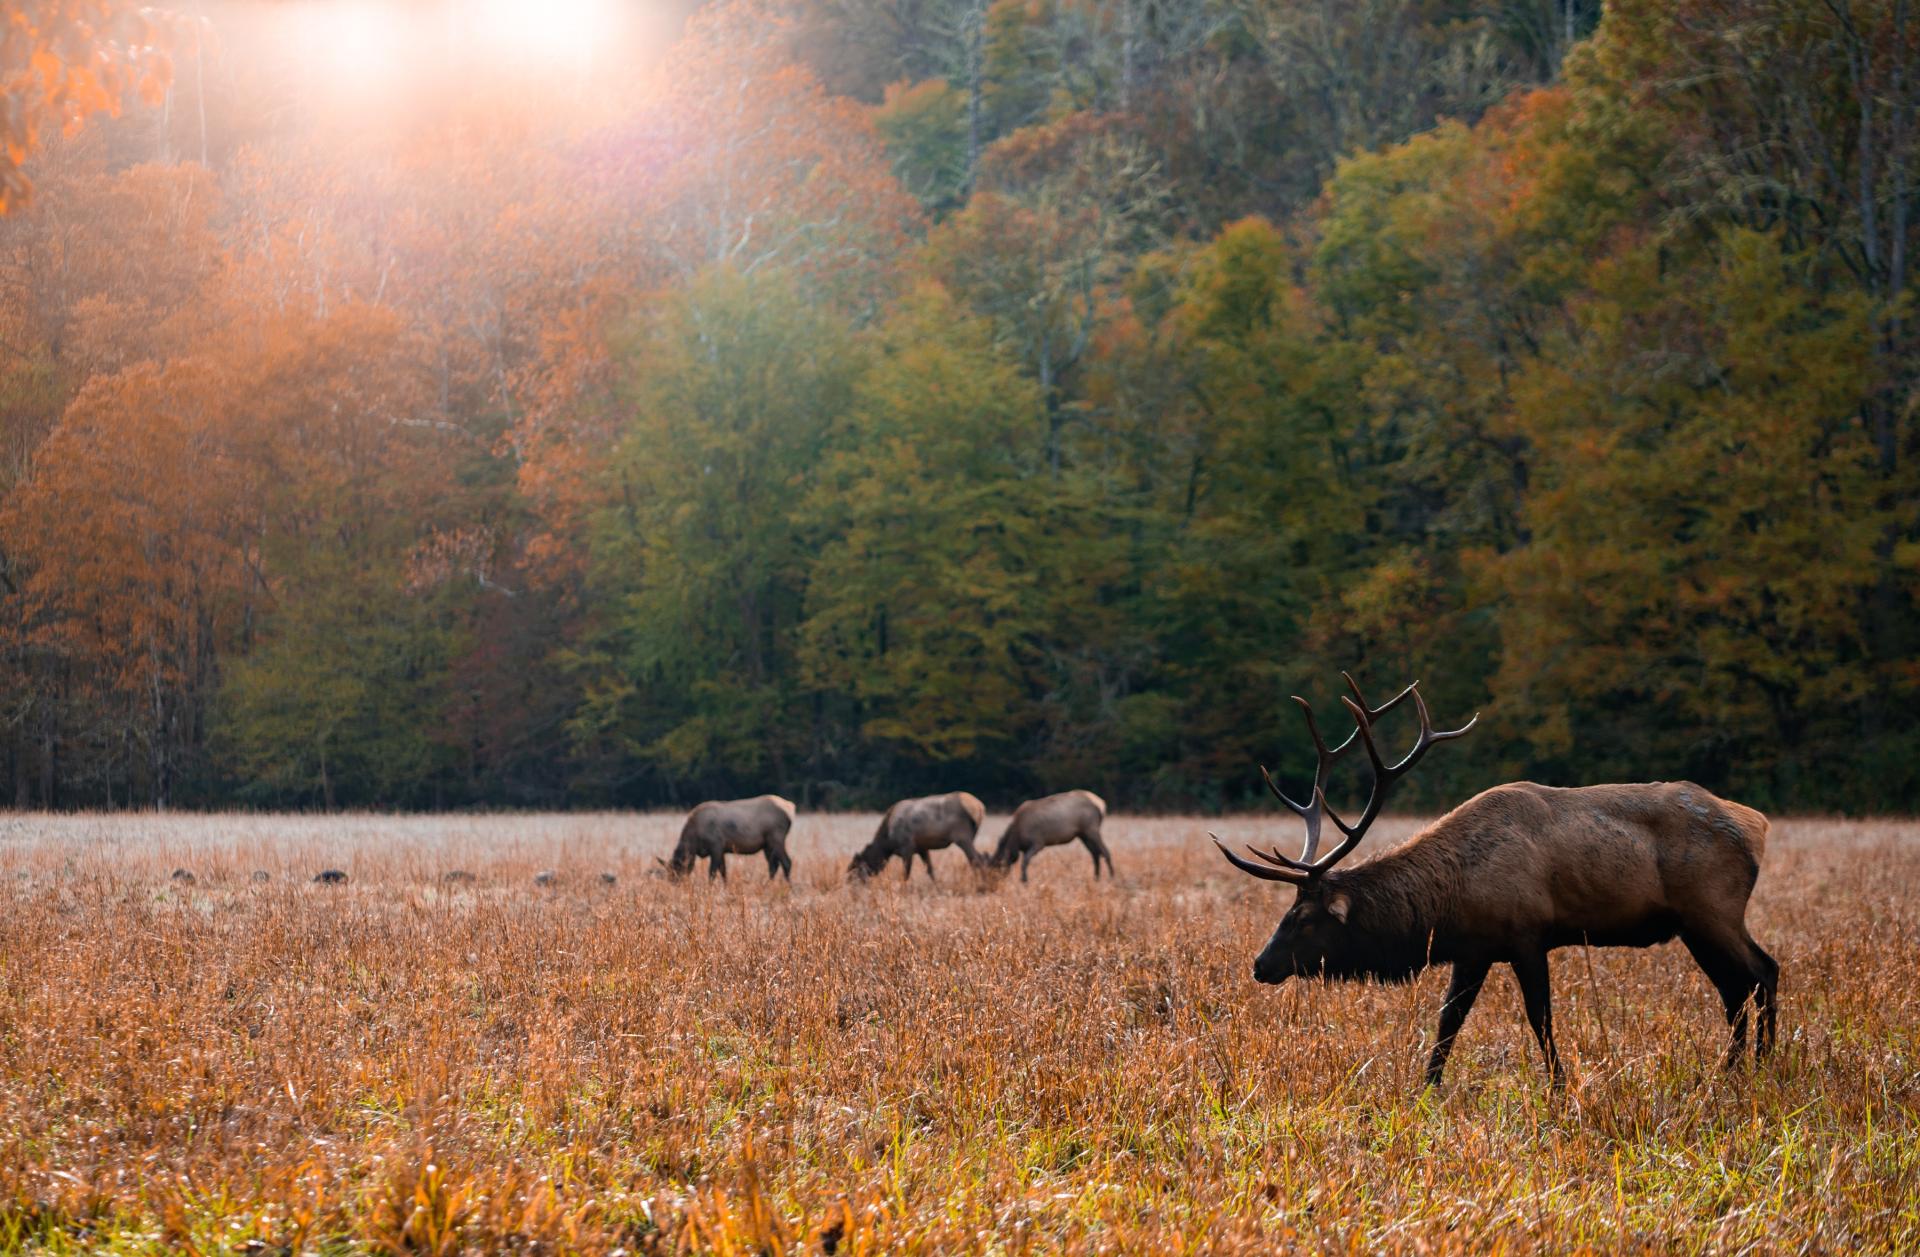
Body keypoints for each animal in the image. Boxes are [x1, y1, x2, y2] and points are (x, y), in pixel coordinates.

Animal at [662, 795, 796, 881]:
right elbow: (723, 872)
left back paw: (788, 887)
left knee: (786, 862)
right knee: (773, 865)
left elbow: (712, 872)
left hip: (776, 838)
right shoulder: (721, 850)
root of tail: (790, 808)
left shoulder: (716, 846)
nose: (674, 882)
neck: (694, 841)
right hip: (767, 844)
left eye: (678, 867)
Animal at [849, 791, 988, 881]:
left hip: (962, 836)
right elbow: (930, 870)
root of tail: (980, 808)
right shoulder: (922, 848)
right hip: (970, 837)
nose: (849, 882)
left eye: (856, 869)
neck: (888, 843)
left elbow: (906, 873)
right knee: (980, 858)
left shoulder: (907, 846)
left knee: (976, 860)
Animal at [1213, 674, 1778, 1088]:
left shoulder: (1528, 934)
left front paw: (1558, 1087)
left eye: (1303, 918)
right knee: (1735, 989)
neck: (1449, 900)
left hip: (1712, 910)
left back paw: (1764, 1066)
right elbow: (1448, 1021)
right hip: (1694, 924)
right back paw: (1730, 1071)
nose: (1260, 965)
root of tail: (1756, 824)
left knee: (1761, 972)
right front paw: (1427, 1088)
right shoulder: (1473, 948)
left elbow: (1539, 1018)